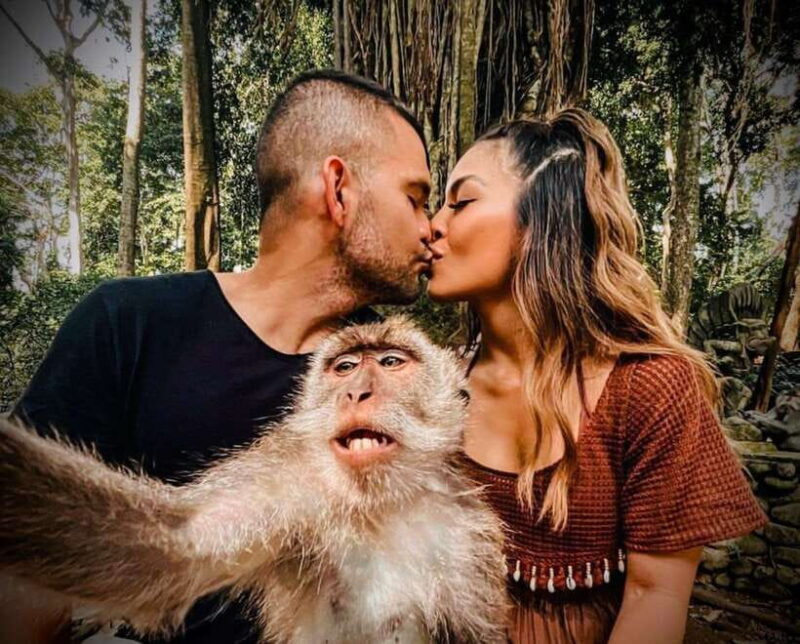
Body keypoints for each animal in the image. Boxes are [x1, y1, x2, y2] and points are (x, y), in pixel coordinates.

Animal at [0, 317, 510, 643]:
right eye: (345, 367)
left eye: (390, 363)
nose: (355, 392)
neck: (378, 504)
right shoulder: (288, 478)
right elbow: (176, 545)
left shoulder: (470, 539)